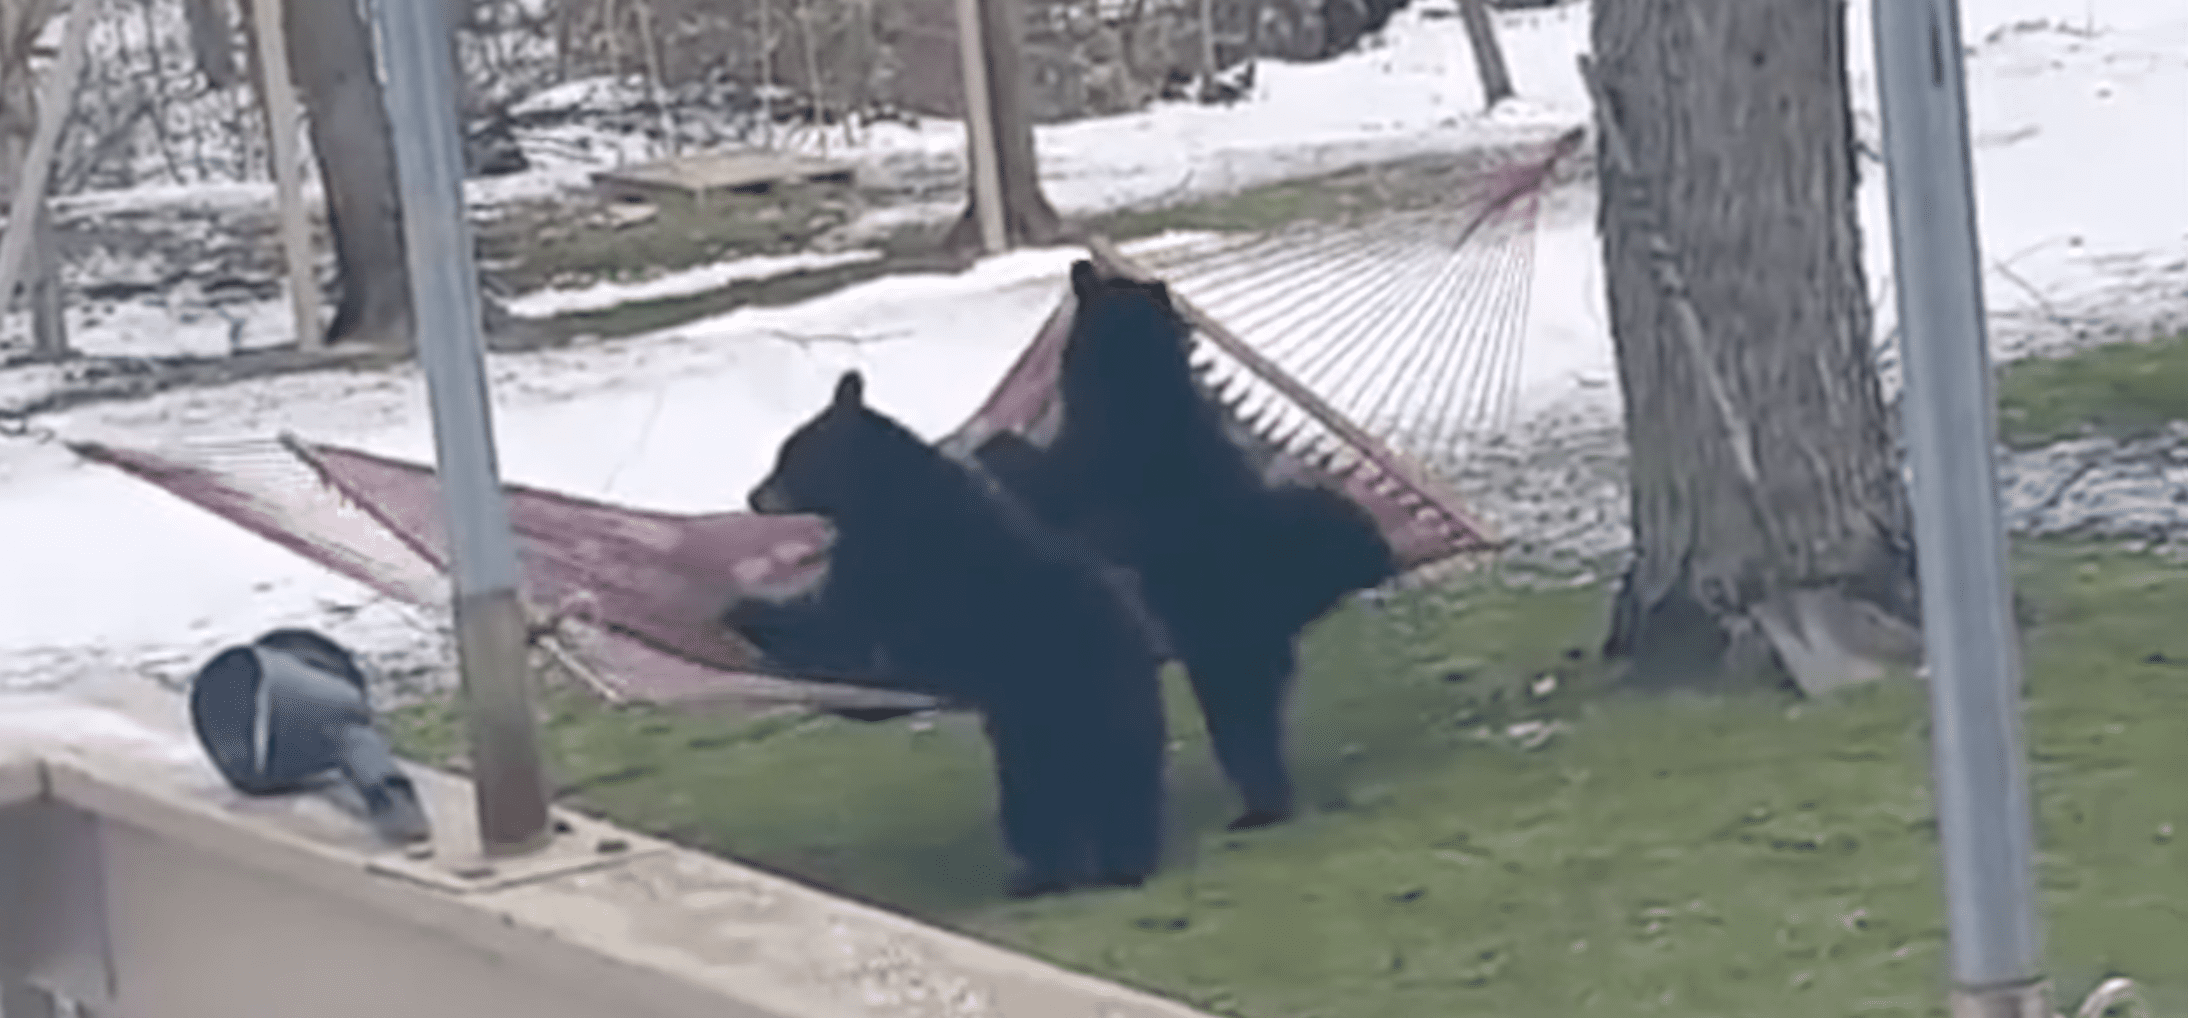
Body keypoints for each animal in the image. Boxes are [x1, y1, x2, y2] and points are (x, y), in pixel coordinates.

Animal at [728, 370, 1169, 898]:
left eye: (789, 454)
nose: (753, 495)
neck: (880, 491)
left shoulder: (891, 556)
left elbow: (839, 633)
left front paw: (749, 610)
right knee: (1118, 789)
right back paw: (1117, 864)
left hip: (1054, 712)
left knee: (1046, 802)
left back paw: (1050, 874)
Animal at [974, 259, 1398, 832]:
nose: (1080, 265)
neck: (1134, 376)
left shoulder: (1100, 461)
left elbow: (1055, 486)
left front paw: (993, 442)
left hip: (1226, 647)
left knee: (1244, 729)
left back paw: (1259, 809)